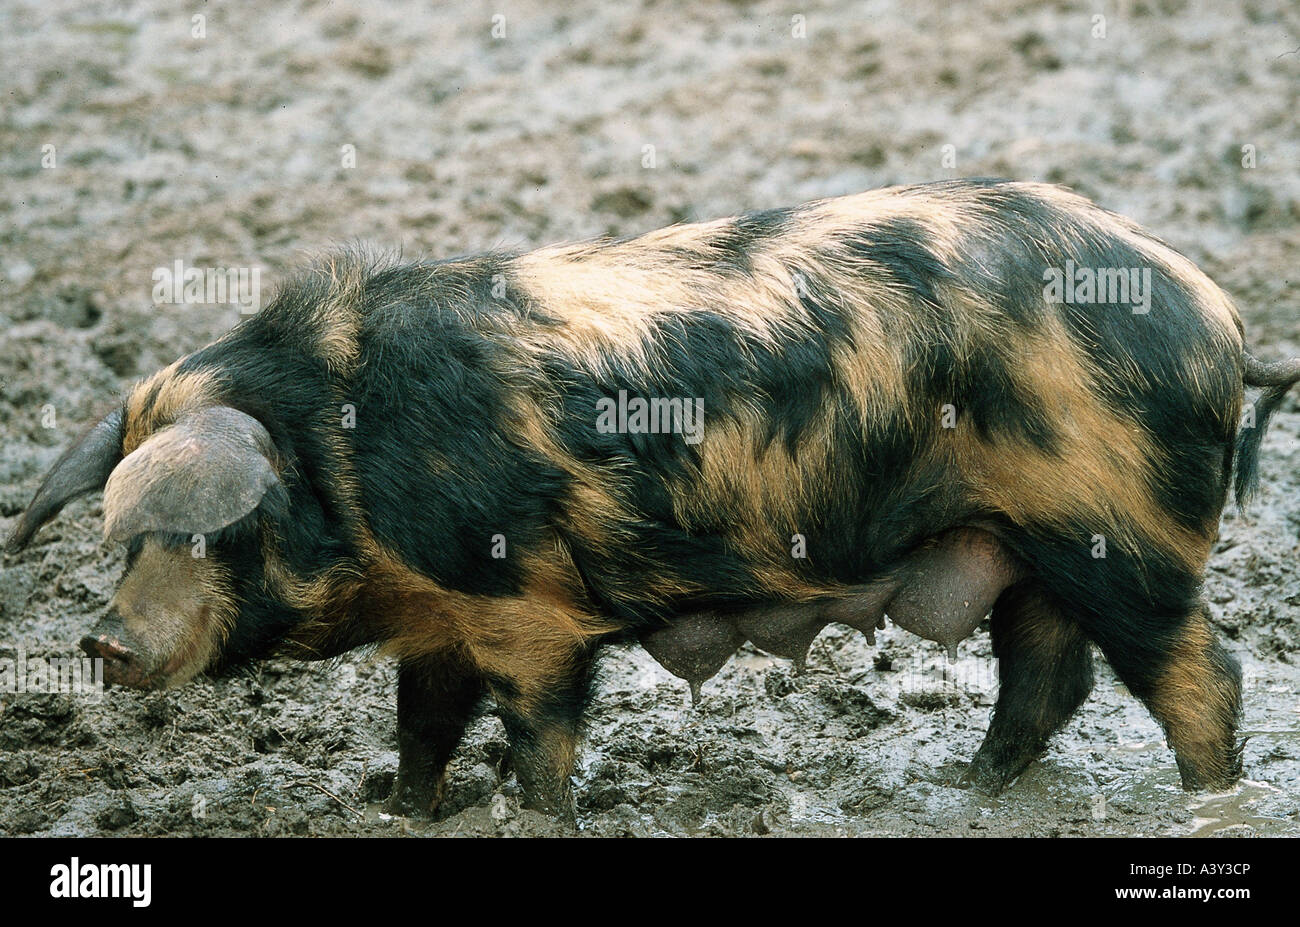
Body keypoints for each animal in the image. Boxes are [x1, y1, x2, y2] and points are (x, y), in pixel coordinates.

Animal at [6, 179, 1299, 819]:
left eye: (220, 530)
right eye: (125, 539)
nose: (100, 641)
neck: (350, 461)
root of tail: (1218, 313)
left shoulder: (523, 604)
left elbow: (537, 728)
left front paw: (539, 816)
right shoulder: (441, 616)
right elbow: (423, 720)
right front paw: (400, 809)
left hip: (1115, 531)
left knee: (1199, 670)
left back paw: (1207, 803)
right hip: (1024, 541)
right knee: (1048, 668)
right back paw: (965, 789)